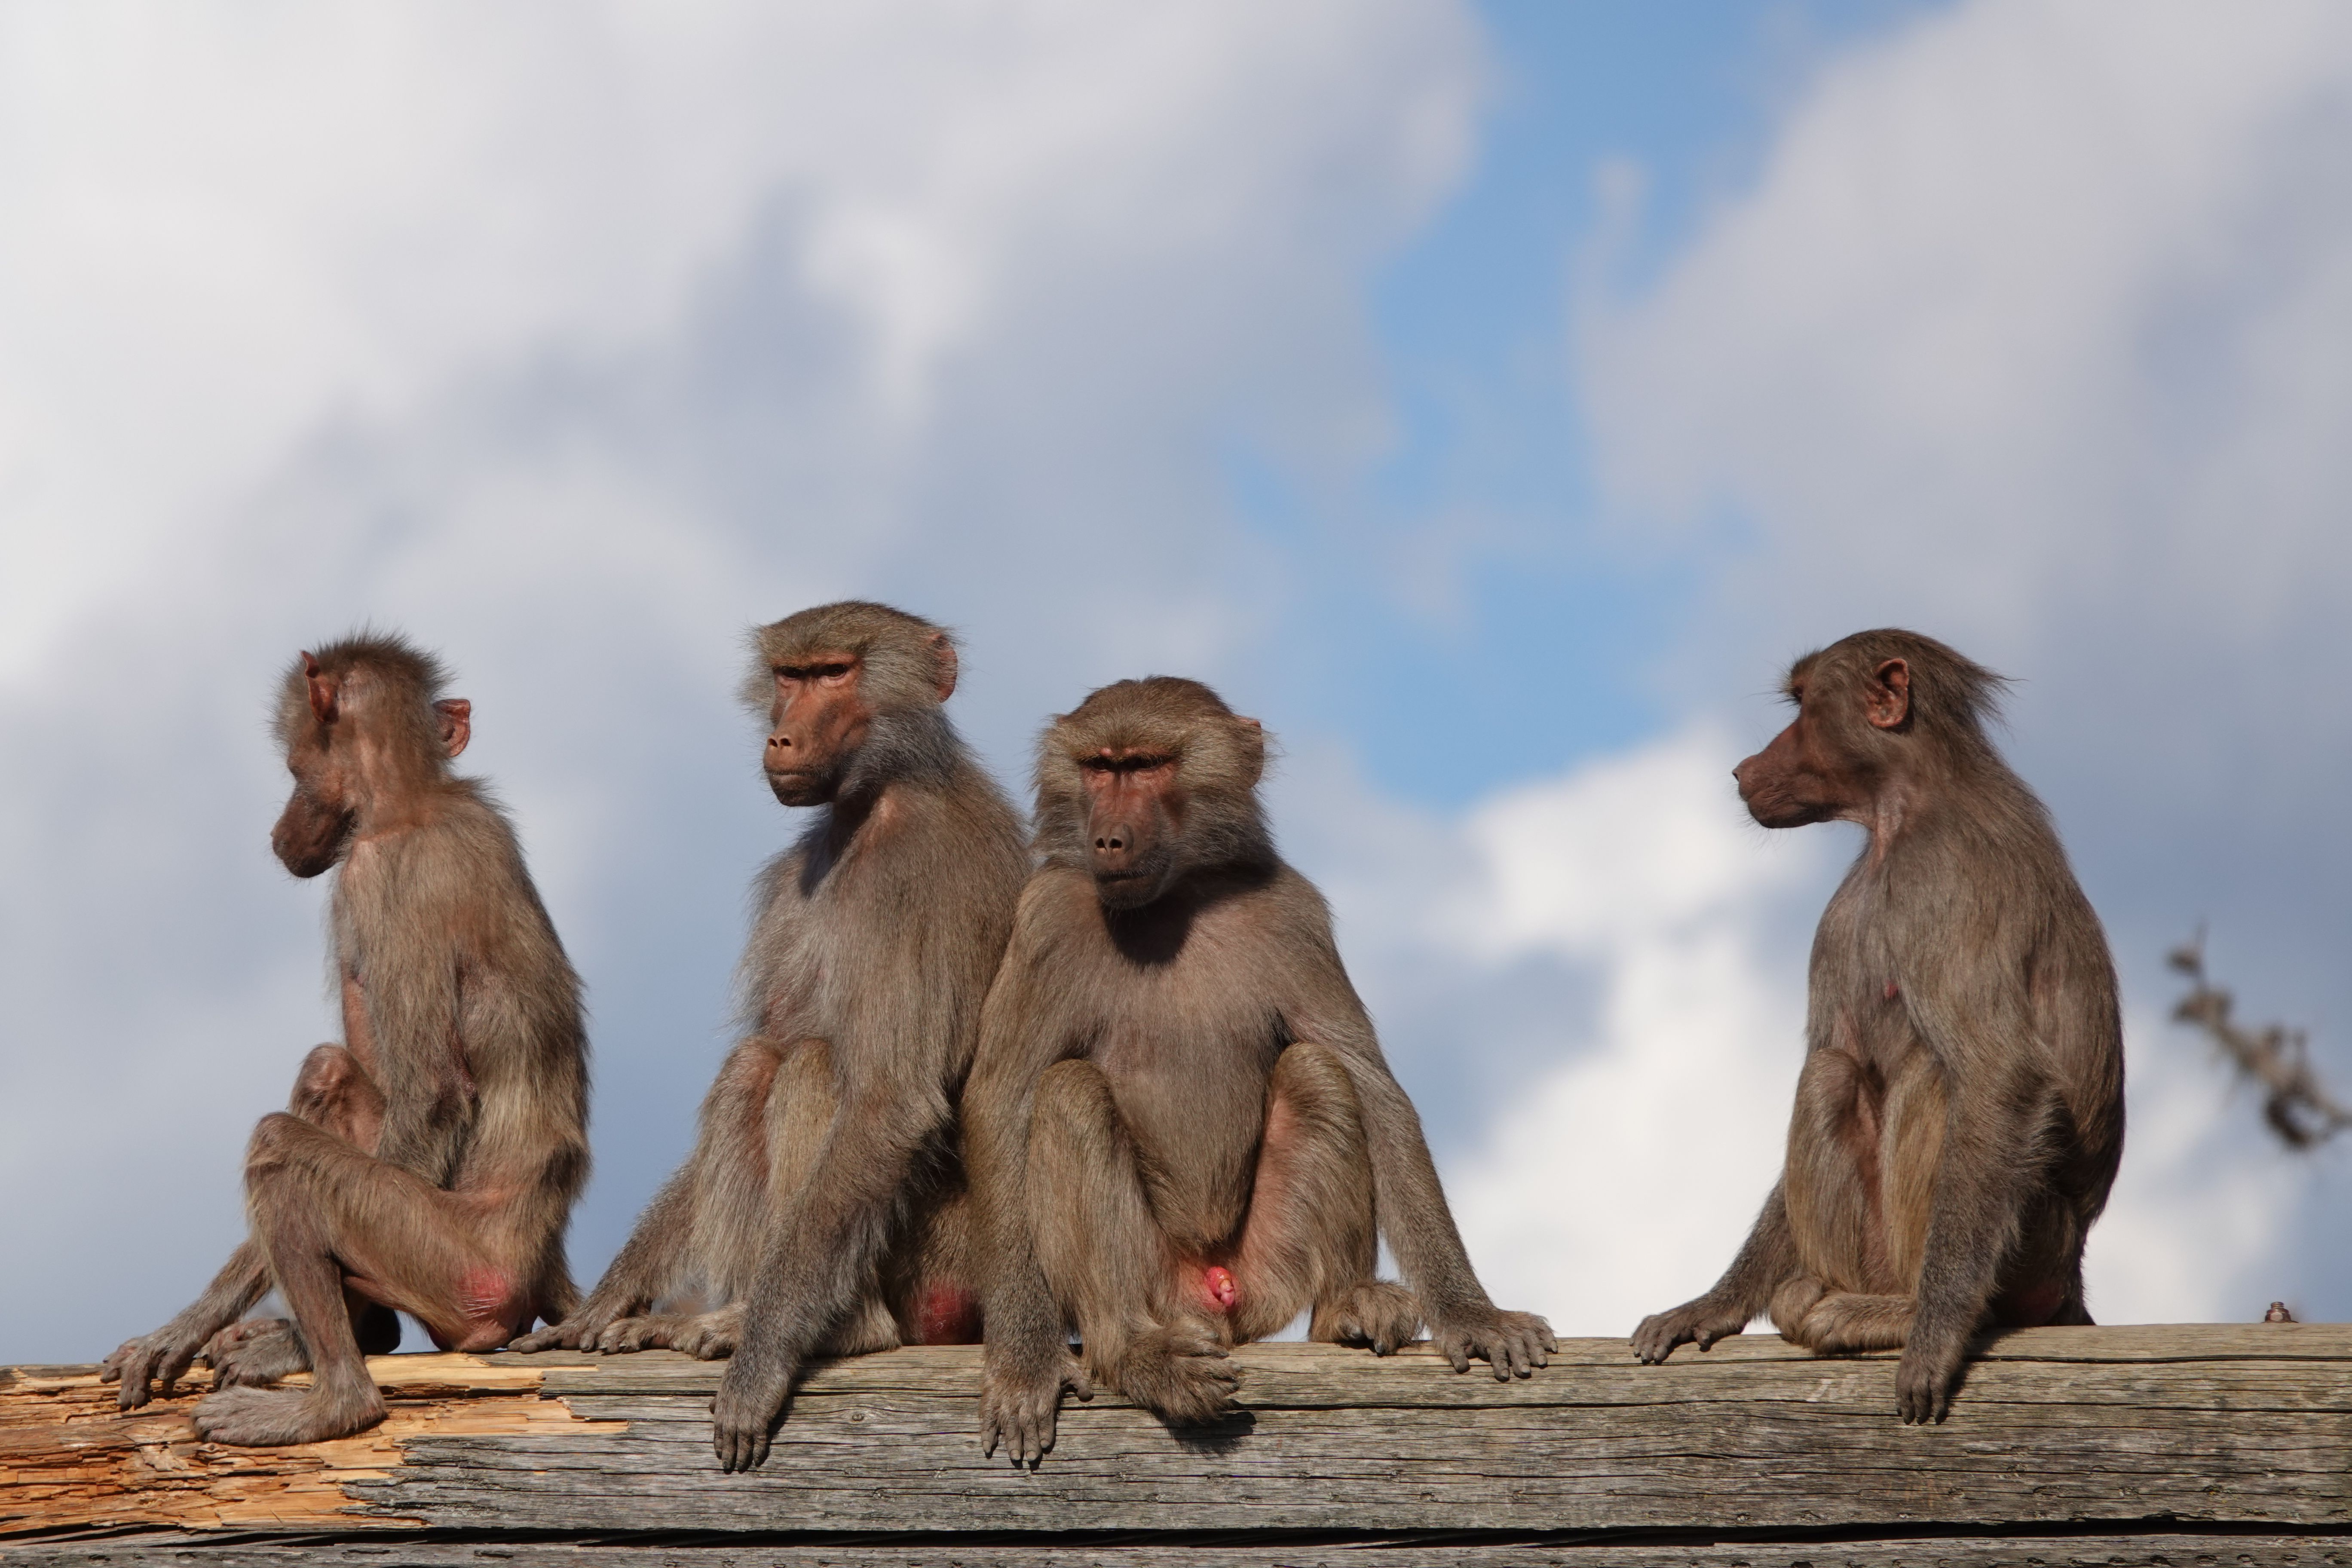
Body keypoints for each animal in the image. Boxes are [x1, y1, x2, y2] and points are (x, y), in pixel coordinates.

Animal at [100, 634, 590, 1446]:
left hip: (451, 1269)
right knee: (329, 1068)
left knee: (281, 1148)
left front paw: (262, 1338)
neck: (417, 802)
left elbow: (434, 1095)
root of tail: (538, 1263)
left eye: (296, 771)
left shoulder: (377, 878)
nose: (278, 834)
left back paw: (336, 1394)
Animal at [512, 602, 1029, 1475]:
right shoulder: (797, 879)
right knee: (757, 1062)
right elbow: (772, 1035)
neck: (875, 804)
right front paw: (604, 1303)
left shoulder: (932, 876)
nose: (783, 739)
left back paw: (838, 1329)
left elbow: (892, 1100)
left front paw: (760, 1364)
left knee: (817, 1070)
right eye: (790, 676)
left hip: (947, 1254)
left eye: (835, 674)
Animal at [968, 676, 1556, 1466]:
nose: (1108, 839)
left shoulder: (1292, 912)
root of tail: (1215, 1296)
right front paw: (1025, 1361)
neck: (1176, 897)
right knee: (1068, 1094)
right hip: (1163, 1285)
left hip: (1267, 1272)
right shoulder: (1046, 919)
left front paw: (1473, 1314)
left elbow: (1372, 1085)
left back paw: (1347, 1309)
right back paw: (1138, 1355)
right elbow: (1003, 1099)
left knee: (1318, 1070)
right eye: (1098, 768)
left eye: (1147, 765)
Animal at [1631, 629, 2124, 1424]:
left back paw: (1907, 1313)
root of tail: (2072, 1276)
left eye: (1801, 705)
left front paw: (1936, 1334)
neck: (1904, 809)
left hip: (2031, 1245)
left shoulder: (1944, 880)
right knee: (1830, 1071)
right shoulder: (1844, 915)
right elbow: (1838, 1047)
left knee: (1941, 1075)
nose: (1743, 768)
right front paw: (1713, 1305)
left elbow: (2001, 1072)